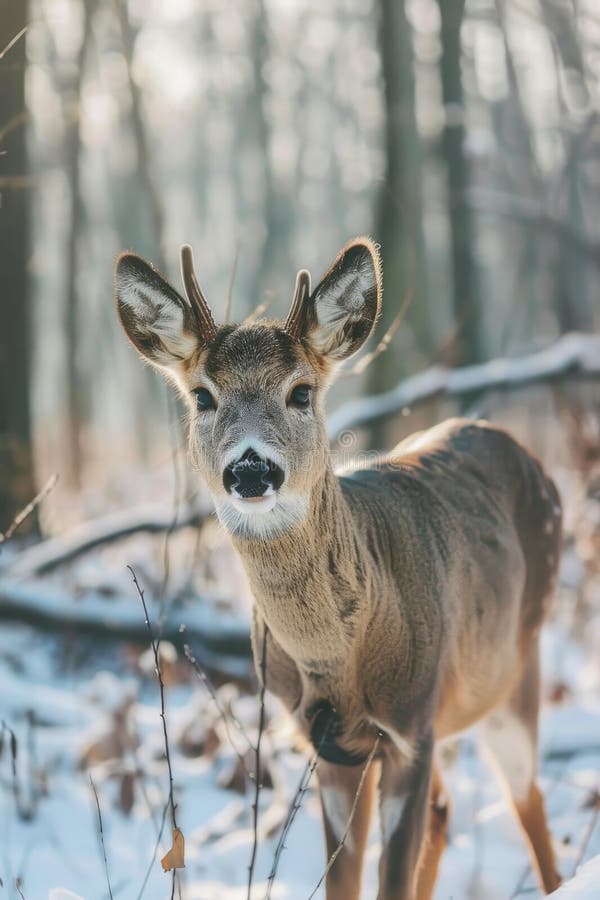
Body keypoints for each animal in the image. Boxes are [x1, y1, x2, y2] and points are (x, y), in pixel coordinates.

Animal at [115, 237, 563, 899]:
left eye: (301, 392)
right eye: (202, 395)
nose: (251, 469)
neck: (340, 660)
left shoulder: (411, 728)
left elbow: (391, 876)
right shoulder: (328, 747)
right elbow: (344, 876)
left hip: (515, 668)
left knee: (530, 807)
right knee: (448, 810)